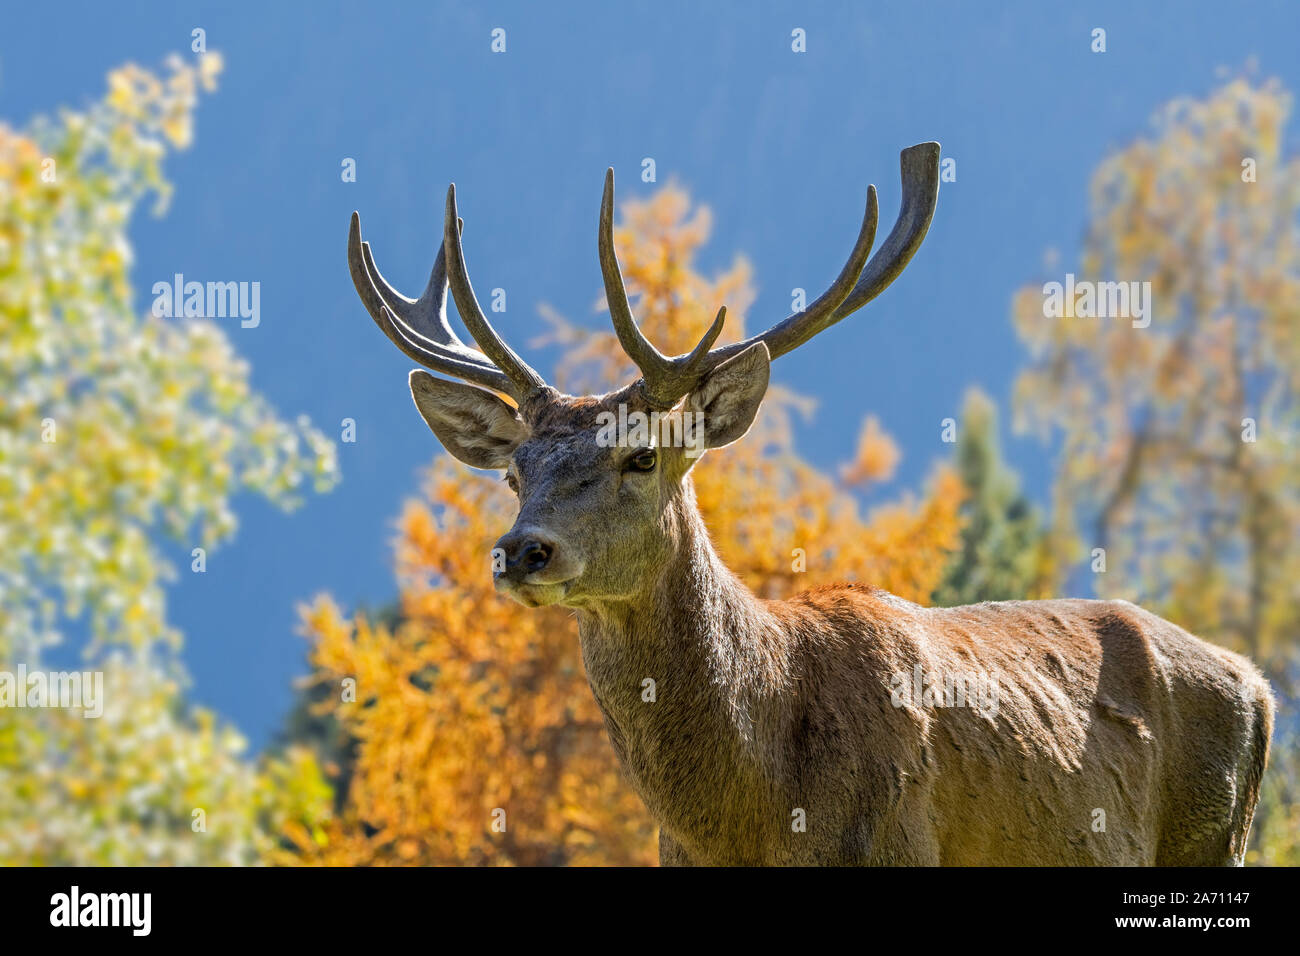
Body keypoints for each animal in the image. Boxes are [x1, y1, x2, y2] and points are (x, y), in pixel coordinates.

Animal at [346, 143, 1274, 866]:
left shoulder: (901, 844)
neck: (752, 816)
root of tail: (1260, 686)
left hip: (1214, 837)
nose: (522, 551)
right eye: (515, 472)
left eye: (641, 455)